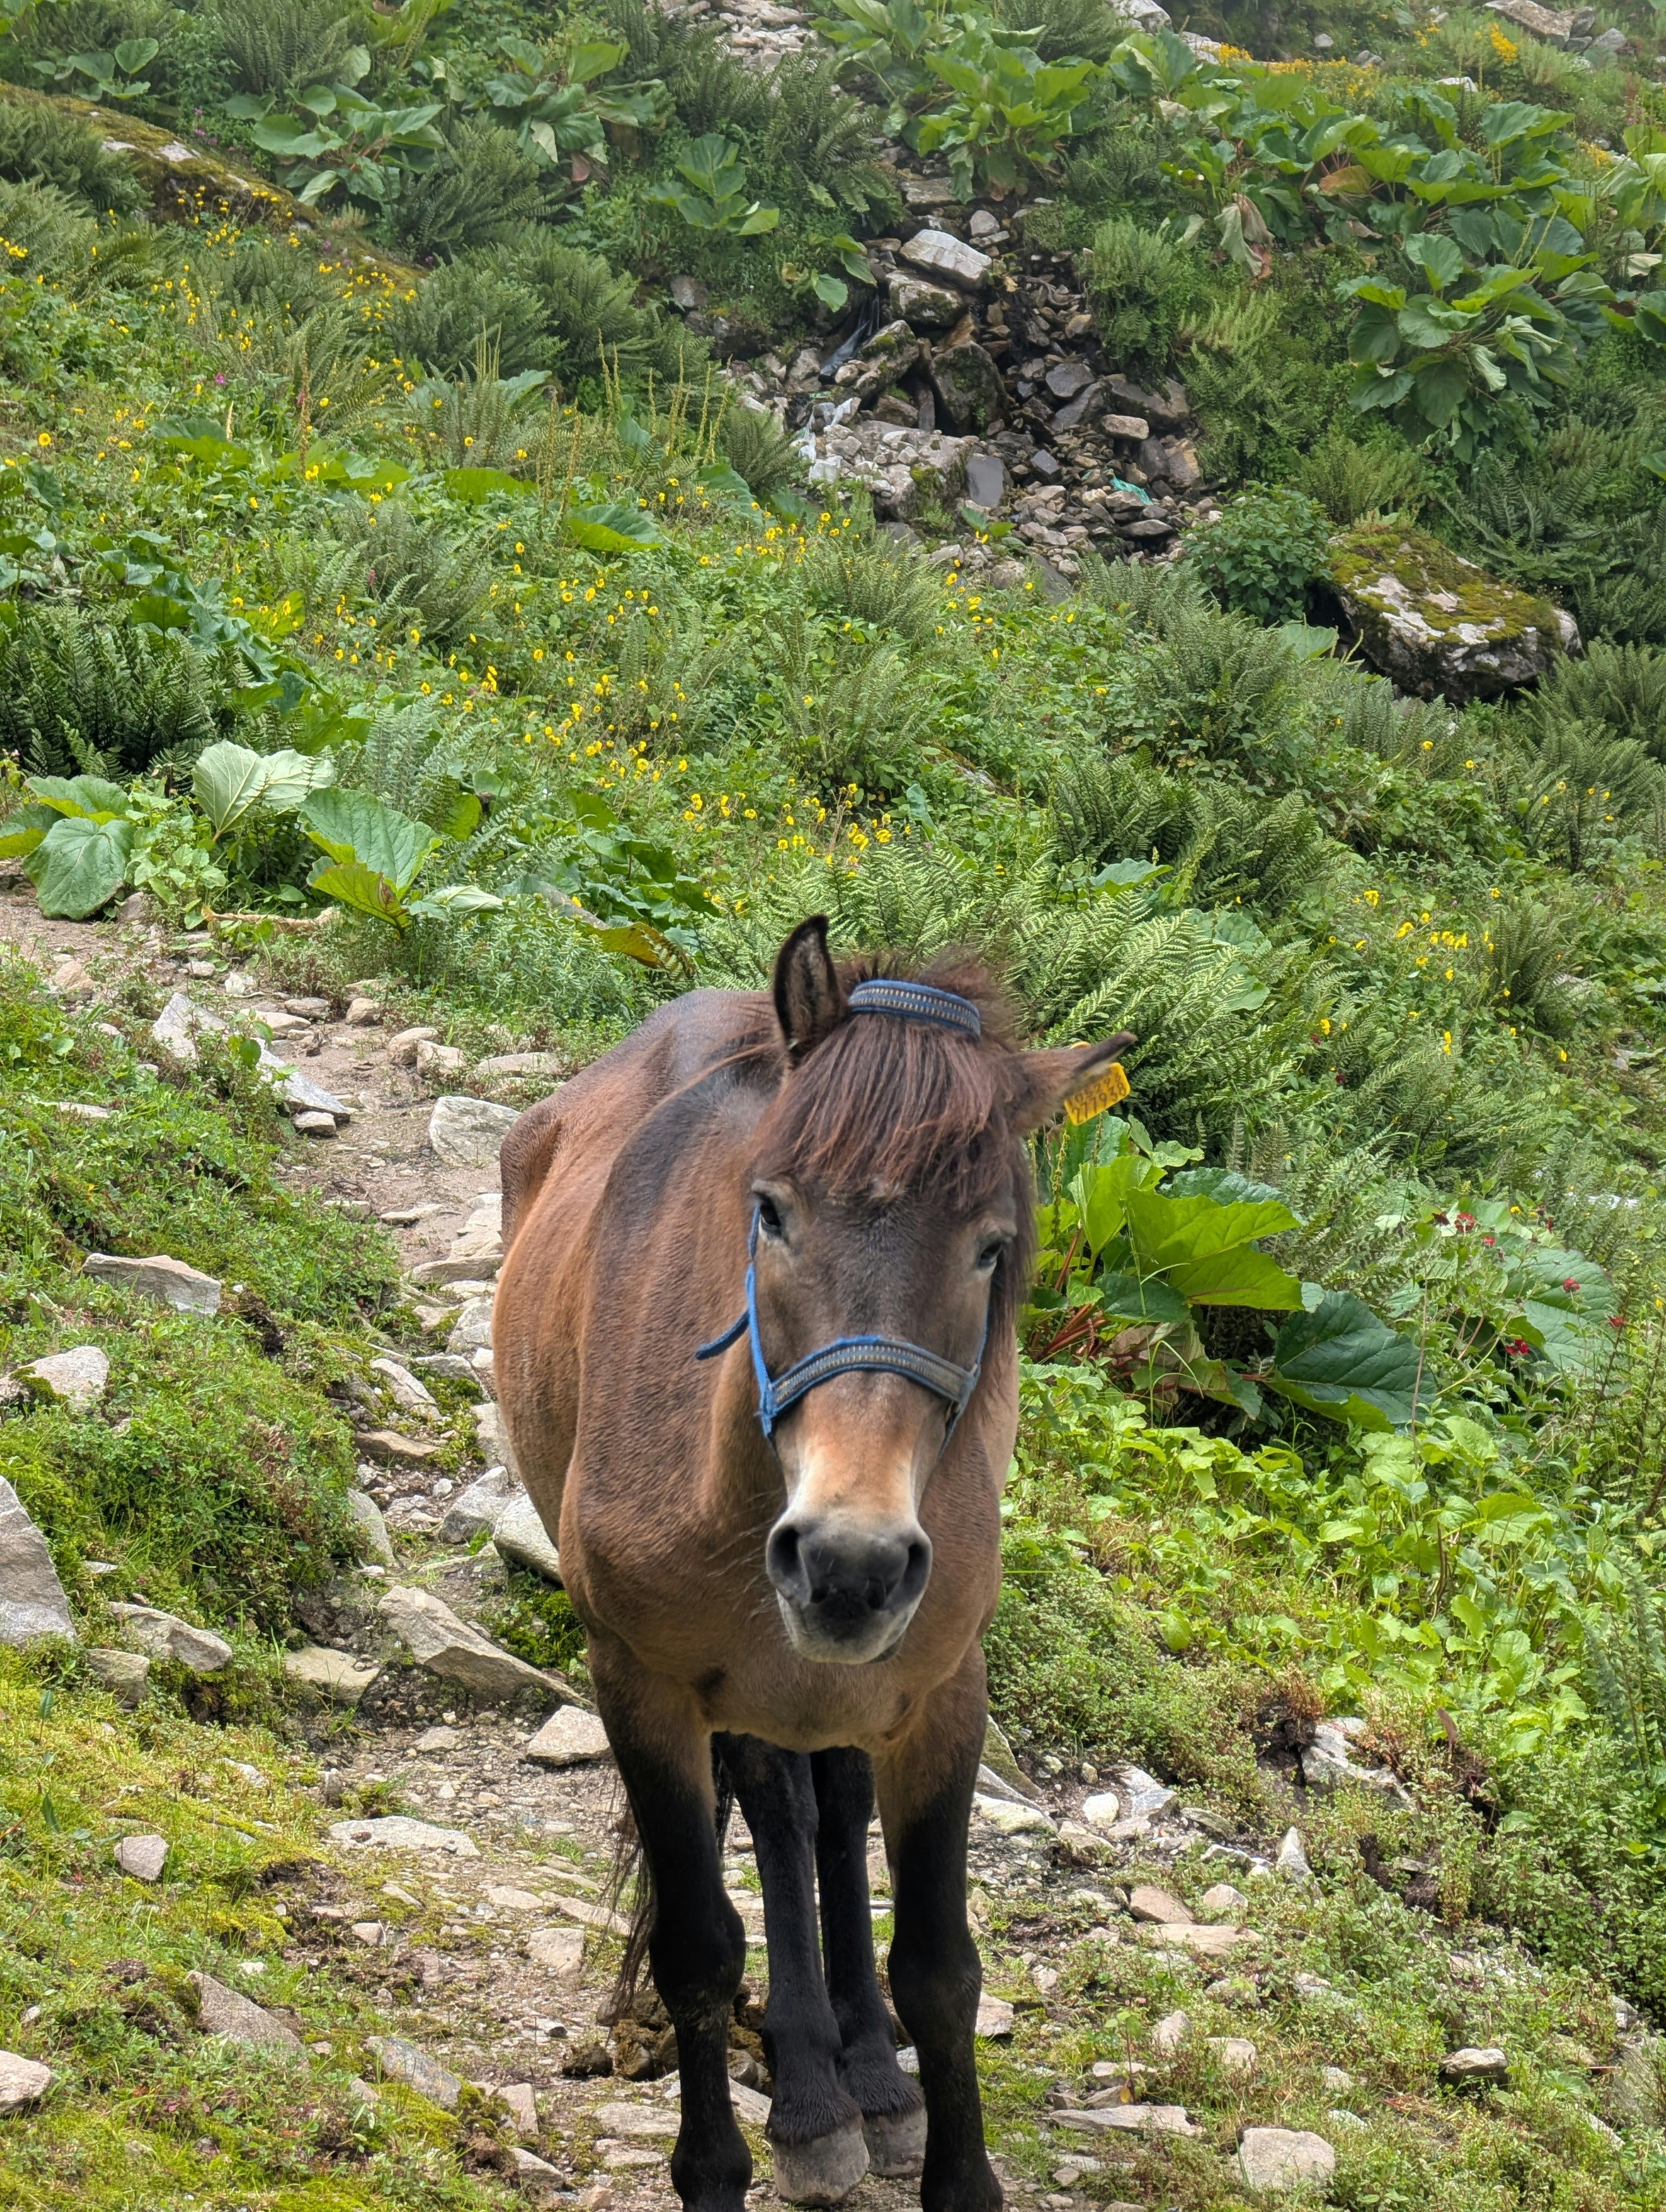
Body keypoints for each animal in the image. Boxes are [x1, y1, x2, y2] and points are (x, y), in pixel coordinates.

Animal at [494, 917, 1130, 2212]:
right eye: (773, 1211)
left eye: (992, 1248)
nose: (850, 1561)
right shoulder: (642, 1684)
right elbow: (696, 1950)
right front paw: (723, 2161)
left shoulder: (939, 1694)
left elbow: (939, 1966)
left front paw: (939, 2144)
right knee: (778, 1809)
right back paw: (811, 2095)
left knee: (829, 1806)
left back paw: (868, 2076)